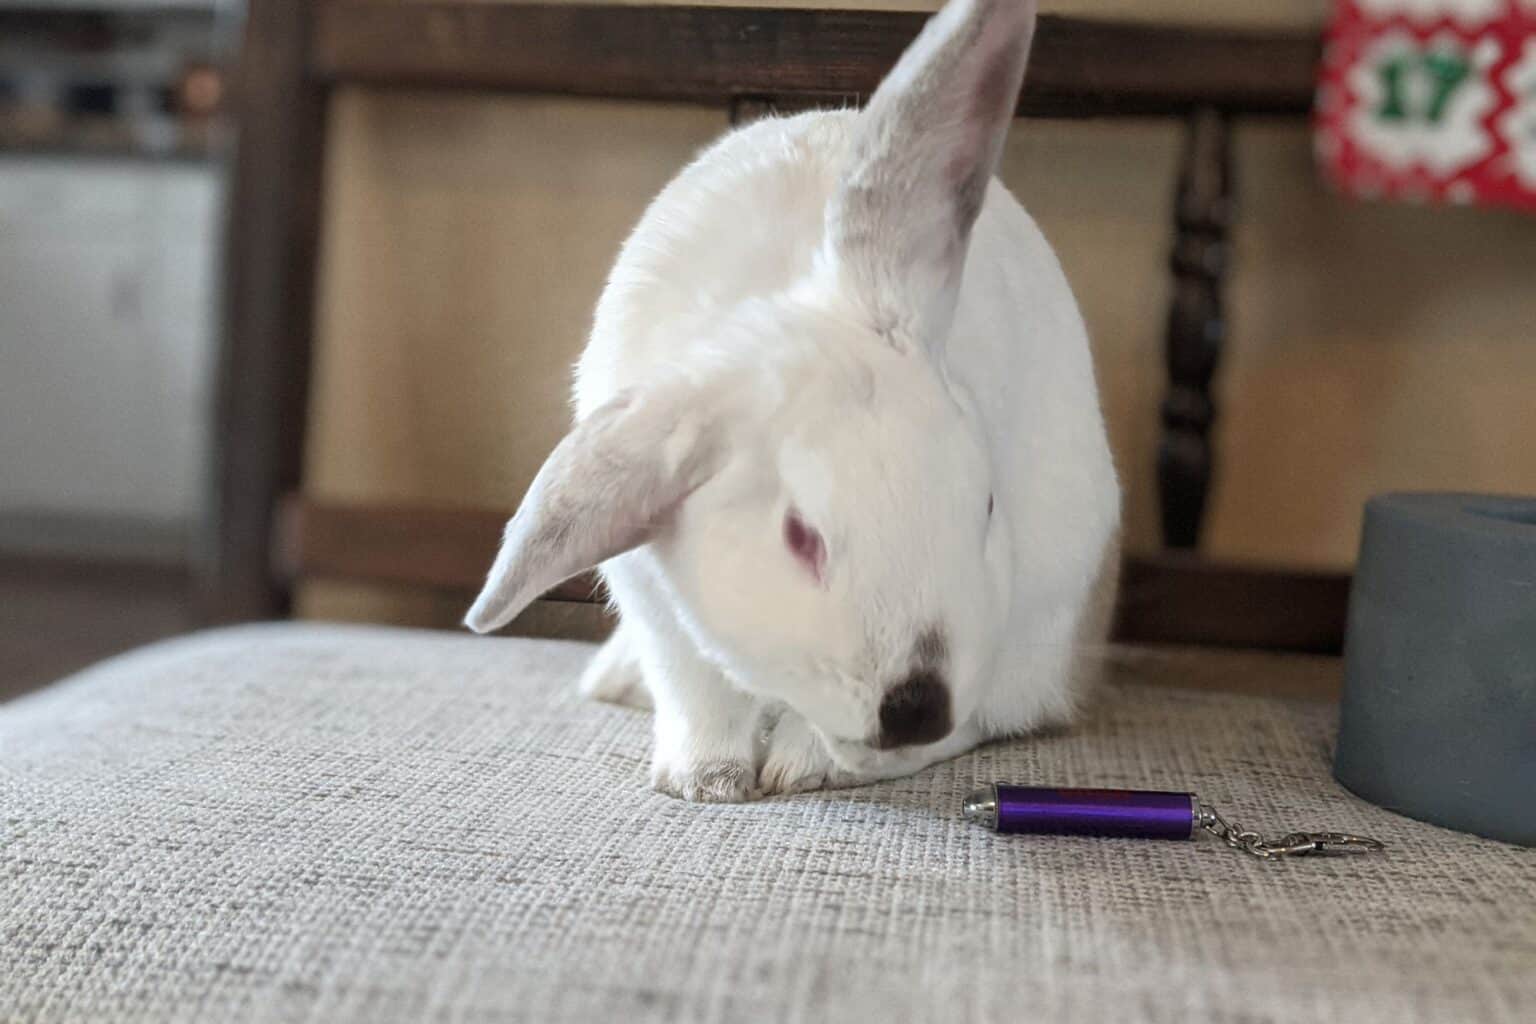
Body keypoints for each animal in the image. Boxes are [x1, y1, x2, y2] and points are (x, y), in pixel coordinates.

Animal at [464, 0, 1120, 802]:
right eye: (799, 536)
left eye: (988, 503)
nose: (918, 707)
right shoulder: (653, 599)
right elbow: (698, 693)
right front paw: (707, 780)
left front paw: (802, 768)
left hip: (1039, 622)